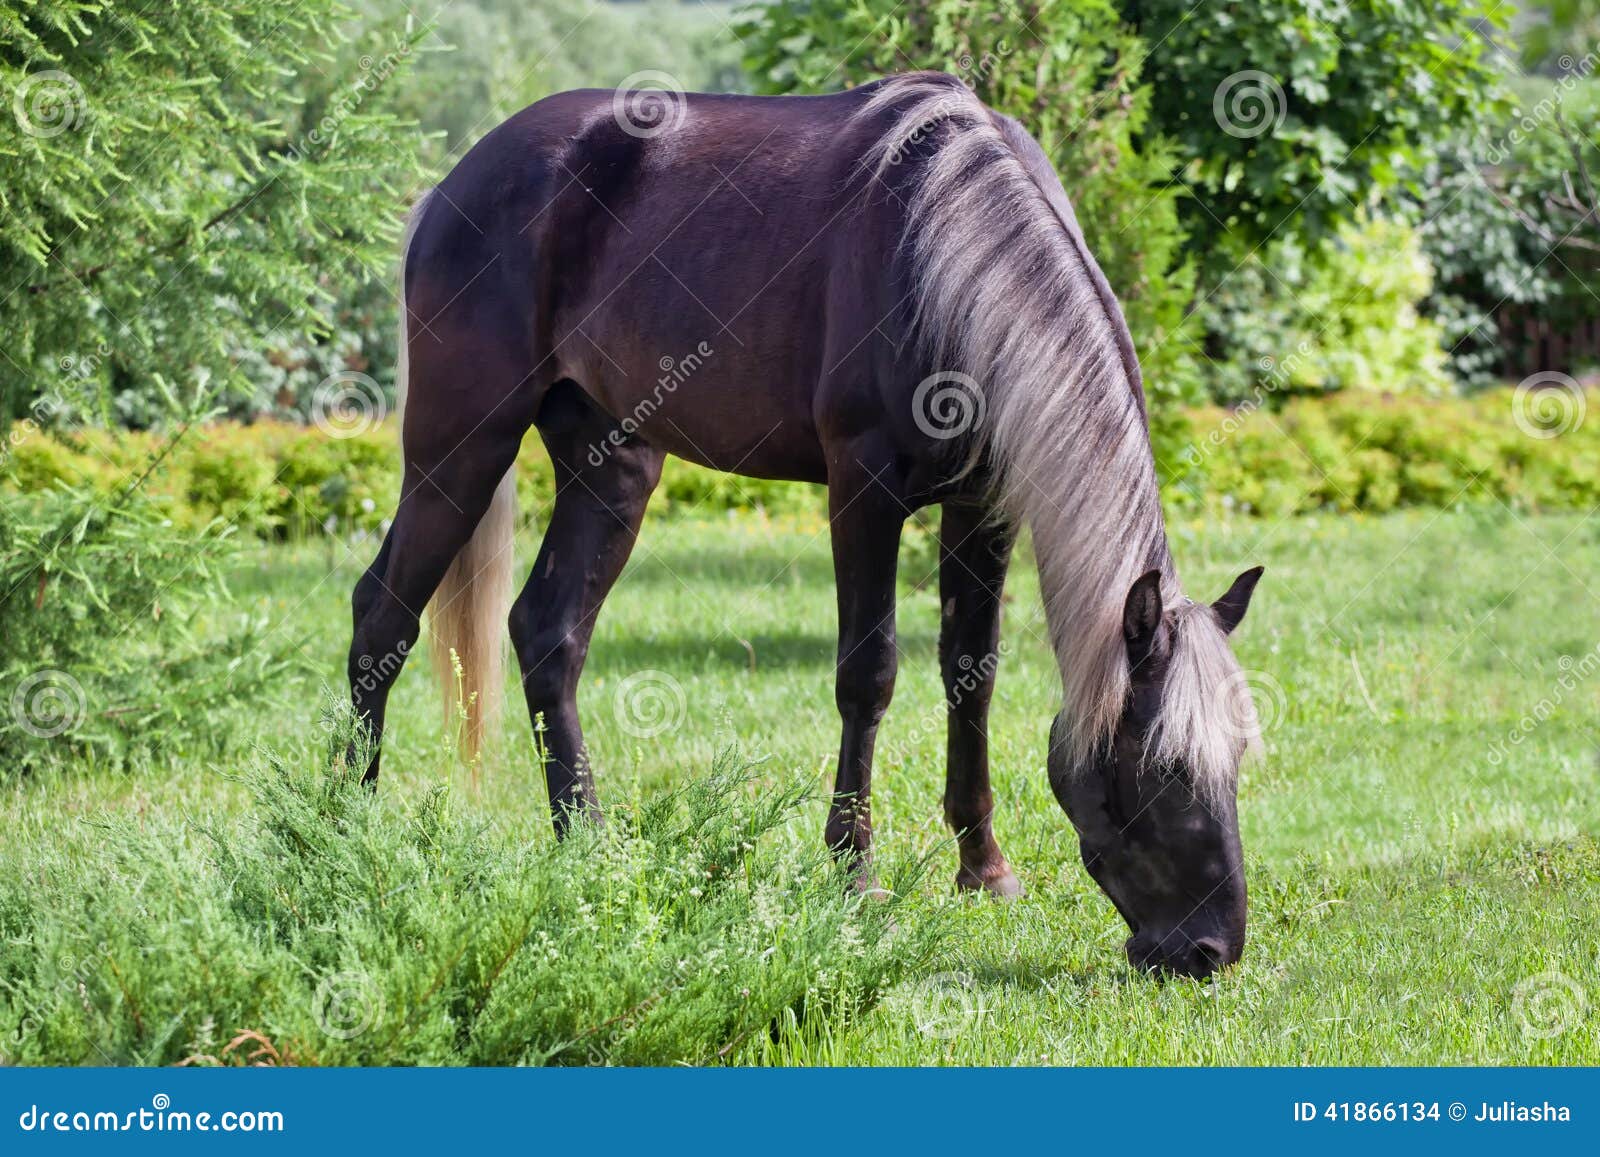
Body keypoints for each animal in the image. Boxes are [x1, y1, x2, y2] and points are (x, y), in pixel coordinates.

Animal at [347, 72, 1266, 980]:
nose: (1210, 949)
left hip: (612, 465)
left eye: (1236, 756)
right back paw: (344, 820)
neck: (945, 244)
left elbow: (972, 670)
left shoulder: (985, 504)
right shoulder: (864, 489)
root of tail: (452, 186)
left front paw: (983, 866)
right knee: (383, 613)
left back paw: (587, 848)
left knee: (548, 631)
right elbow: (869, 674)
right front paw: (853, 873)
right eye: (1162, 766)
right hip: (463, 445)